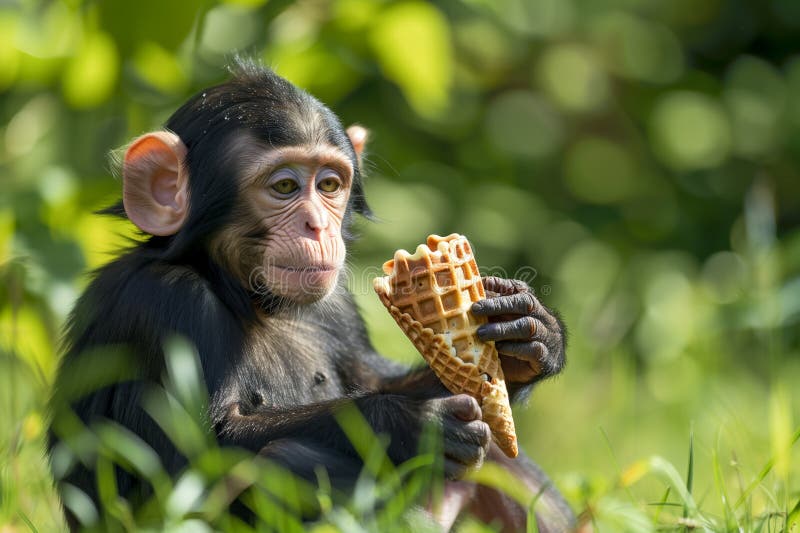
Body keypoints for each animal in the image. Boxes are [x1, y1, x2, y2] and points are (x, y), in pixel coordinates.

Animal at [48, 60, 575, 532]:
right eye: (284, 186)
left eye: (329, 185)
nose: (318, 223)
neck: (246, 295)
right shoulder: (168, 303)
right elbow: (198, 452)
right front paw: (409, 423)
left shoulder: (340, 306)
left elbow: (379, 376)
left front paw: (531, 337)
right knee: (285, 461)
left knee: (506, 464)